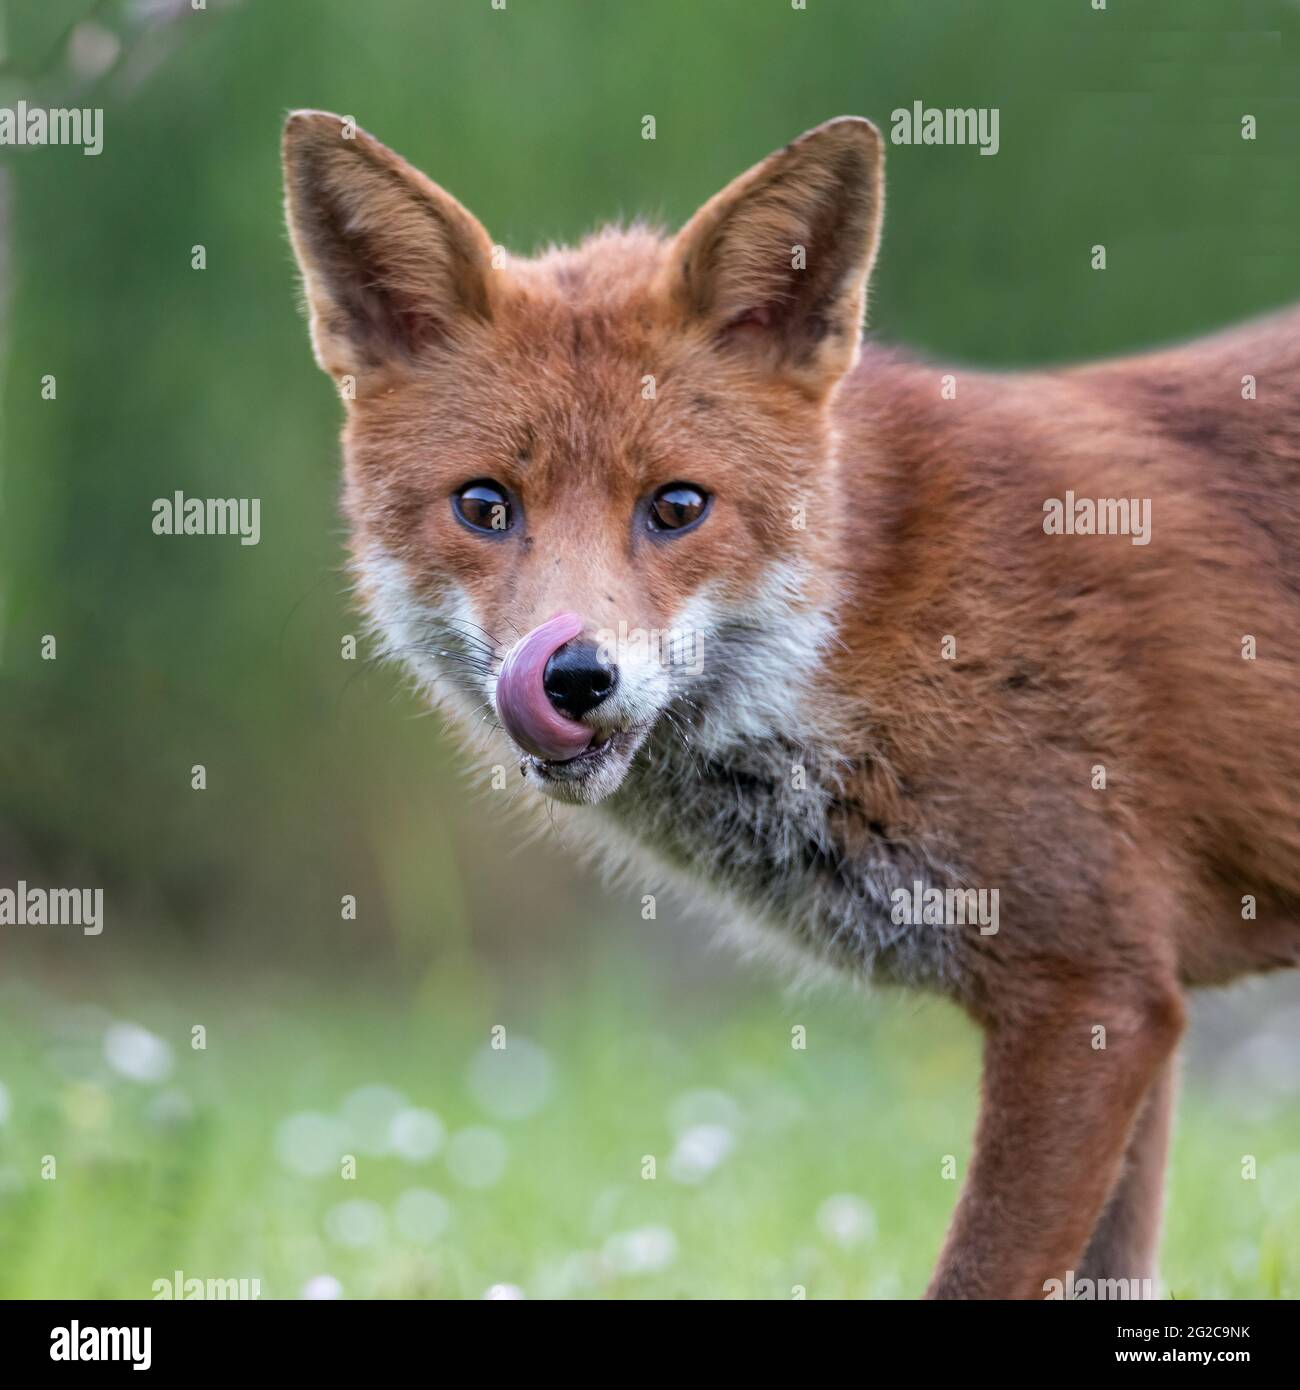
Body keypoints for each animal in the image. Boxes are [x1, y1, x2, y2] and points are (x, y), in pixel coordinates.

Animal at [282, 110, 1300, 1299]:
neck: (879, 618)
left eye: (677, 506)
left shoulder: (1093, 991)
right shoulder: (1139, 1000)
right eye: (484, 505)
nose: (571, 677)